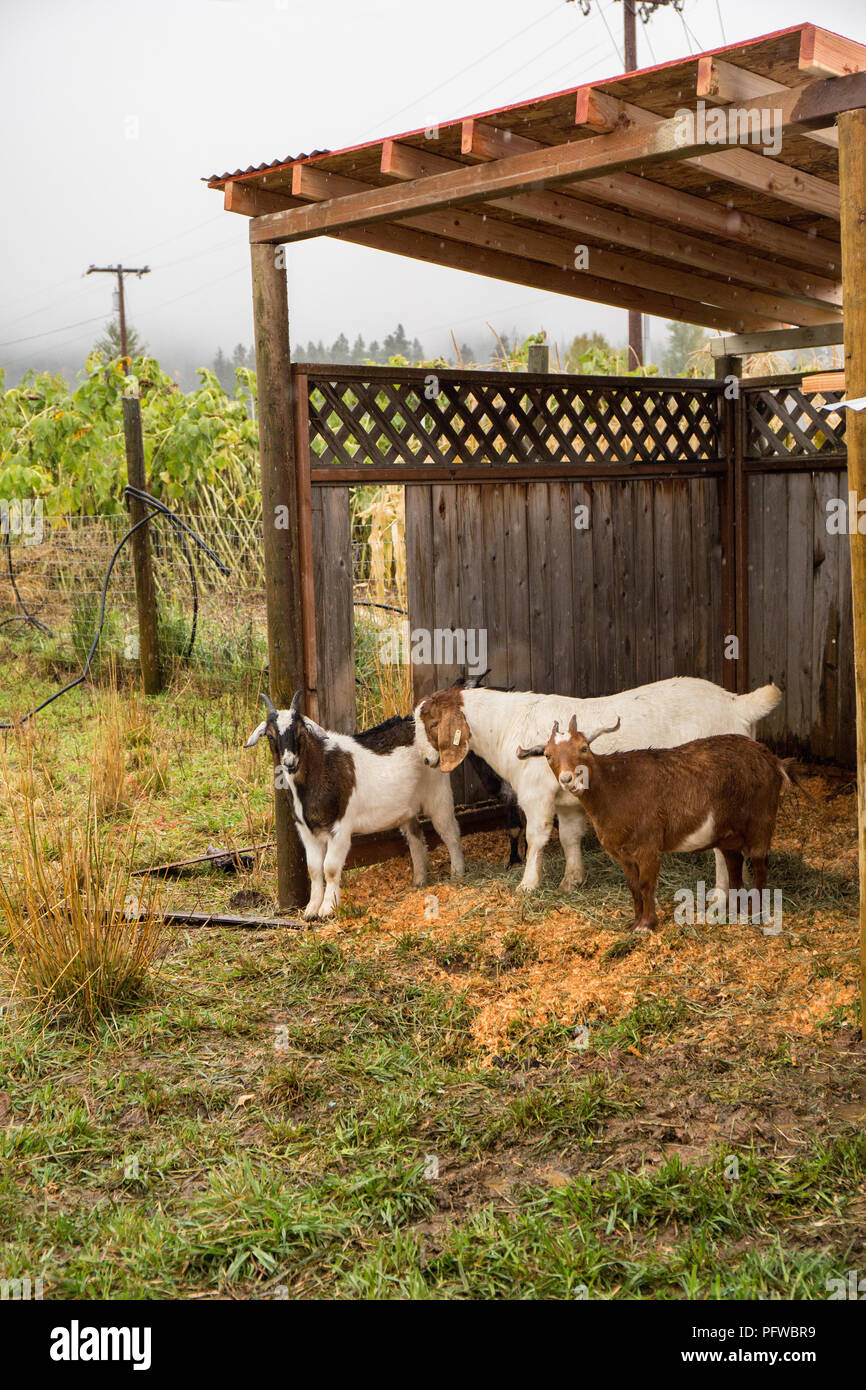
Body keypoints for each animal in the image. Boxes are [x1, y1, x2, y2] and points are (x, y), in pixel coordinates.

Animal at [246, 692, 464, 919]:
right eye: (270, 736)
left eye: (300, 731)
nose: (290, 762)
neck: (320, 768)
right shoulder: (306, 831)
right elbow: (314, 870)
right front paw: (311, 909)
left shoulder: (340, 828)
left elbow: (330, 868)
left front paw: (327, 908)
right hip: (407, 809)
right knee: (415, 837)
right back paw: (419, 880)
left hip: (438, 793)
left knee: (450, 831)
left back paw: (457, 874)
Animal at [413, 676, 782, 896]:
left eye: (432, 724)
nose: (426, 759)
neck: (508, 724)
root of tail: (736, 703)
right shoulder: (566, 801)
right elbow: (569, 838)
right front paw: (571, 881)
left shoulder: (535, 796)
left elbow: (536, 838)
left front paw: (528, 885)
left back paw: (720, 895)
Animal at [518, 715, 802, 931]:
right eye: (548, 755)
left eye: (584, 749)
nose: (568, 780)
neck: (615, 785)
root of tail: (772, 759)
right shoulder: (623, 853)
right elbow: (633, 887)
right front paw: (634, 923)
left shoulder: (649, 846)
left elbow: (646, 884)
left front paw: (647, 925)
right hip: (728, 834)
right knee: (734, 866)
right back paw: (734, 911)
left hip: (761, 820)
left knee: (760, 864)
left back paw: (756, 912)